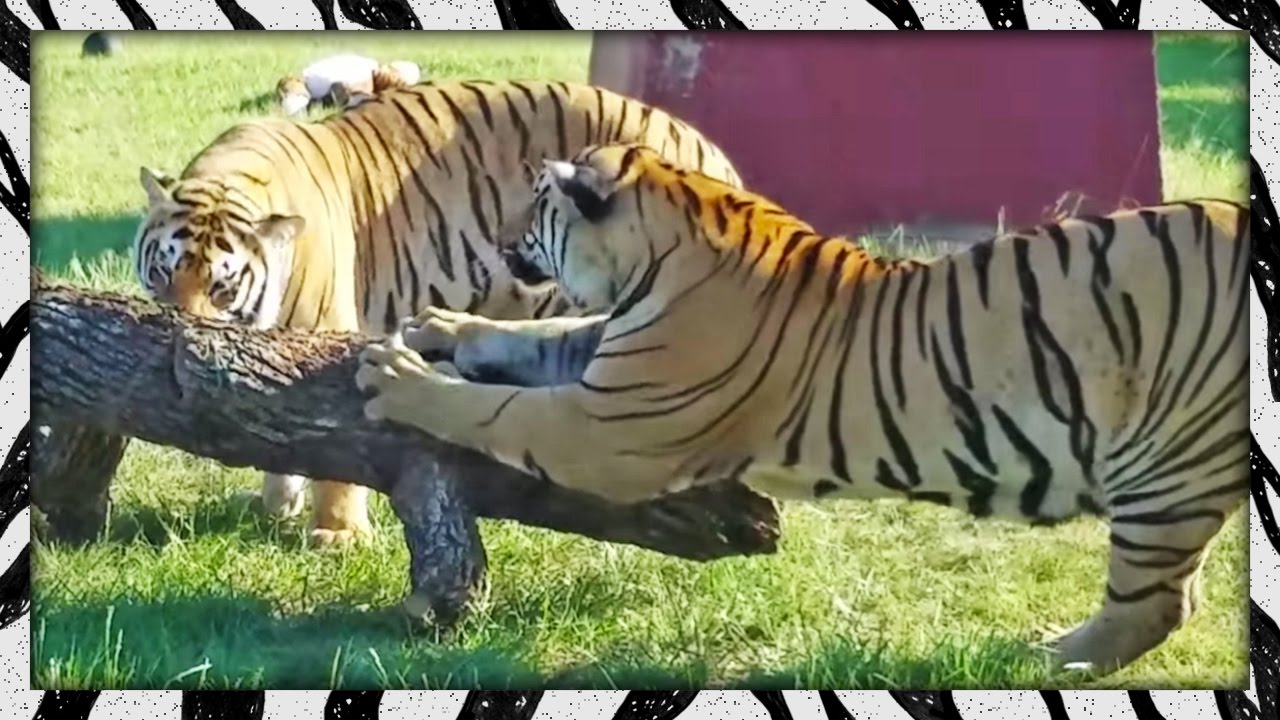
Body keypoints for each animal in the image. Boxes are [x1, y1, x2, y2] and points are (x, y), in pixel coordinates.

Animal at [132, 85, 743, 547]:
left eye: (223, 289)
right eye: (162, 275)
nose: (167, 342)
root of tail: (706, 148)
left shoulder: (323, 332)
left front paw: (337, 534)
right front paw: (278, 503)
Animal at [355, 143, 1249, 673]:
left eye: (535, 200)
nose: (501, 236)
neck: (658, 255)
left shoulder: (607, 427)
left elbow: (496, 409)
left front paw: (396, 375)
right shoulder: (607, 362)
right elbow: (538, 339)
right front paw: (443, 326)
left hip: (1165, 468)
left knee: (1156, 603)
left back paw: (1054, 659)